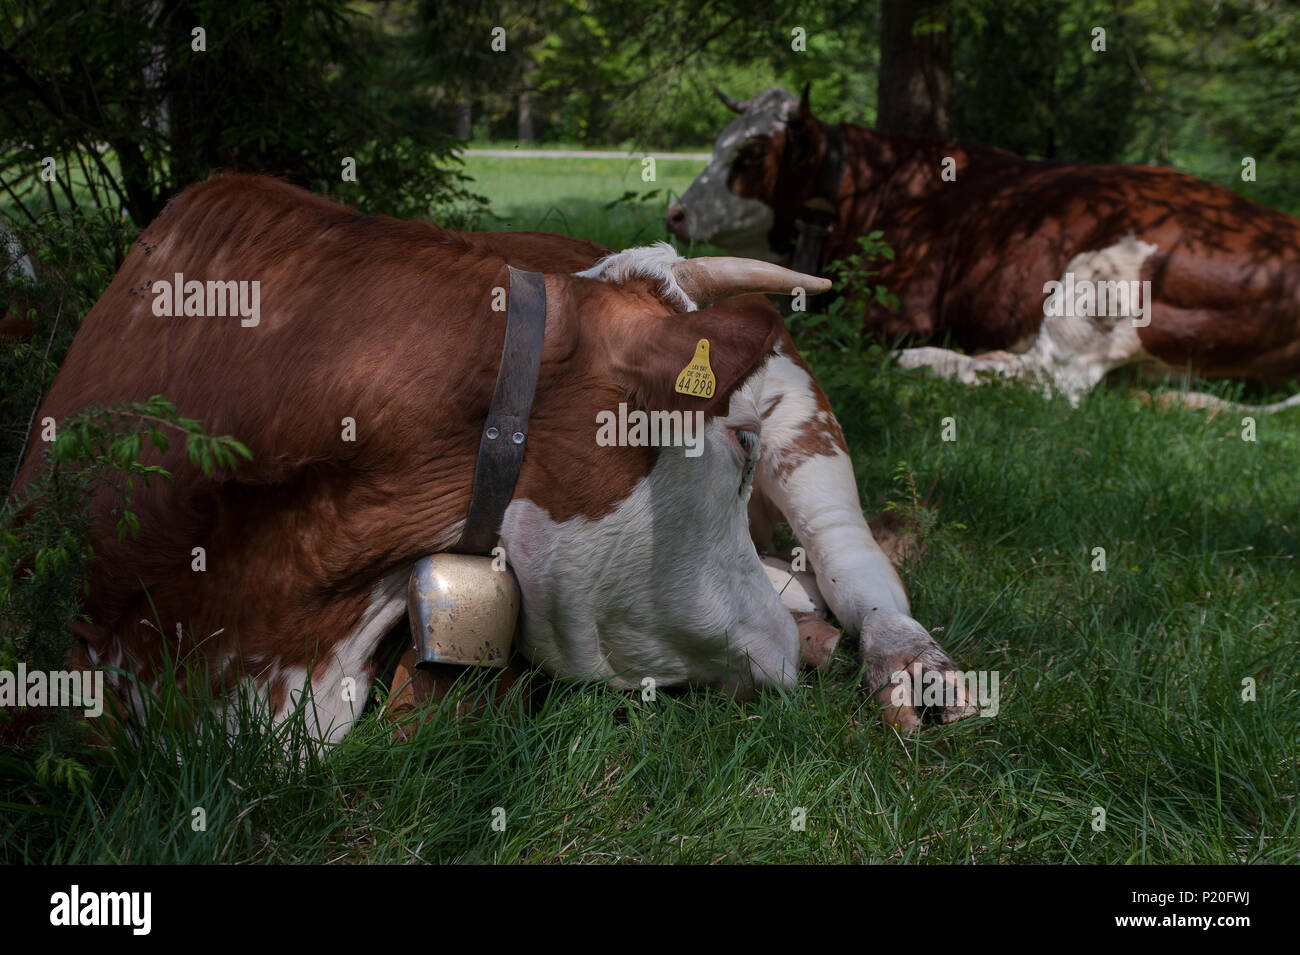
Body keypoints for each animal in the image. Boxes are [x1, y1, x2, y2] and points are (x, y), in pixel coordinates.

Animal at [668, 87, 1300, 409]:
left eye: (750, 154)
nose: (676, 213)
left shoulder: (898, 308)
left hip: (1102, 271)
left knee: (1052, 380)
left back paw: (930, 361)